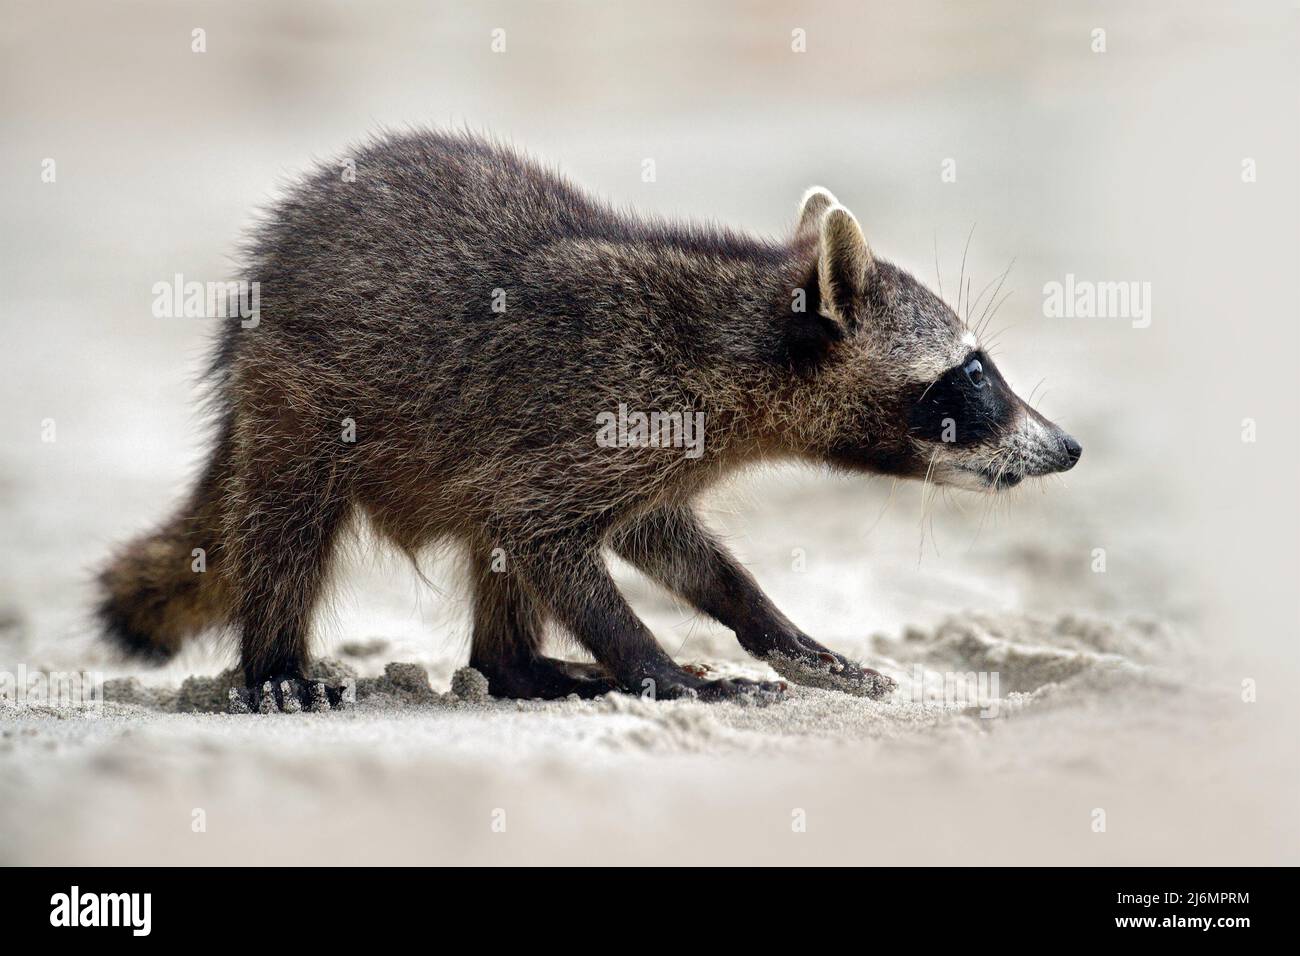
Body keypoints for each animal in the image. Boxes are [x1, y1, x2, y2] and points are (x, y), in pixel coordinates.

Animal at [98, 130, 1080, 709]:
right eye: (971, 373)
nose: (1068, 447)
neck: (739, 345)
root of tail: (244, 313)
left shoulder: (650, 448)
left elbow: (665, 542)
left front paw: (769, 623)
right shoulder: (603, 410)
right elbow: (542, 531)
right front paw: (660, 670)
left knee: (483, 535)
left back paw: (516, 665)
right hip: (298, 399)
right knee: (288, 524)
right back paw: (276, 662)